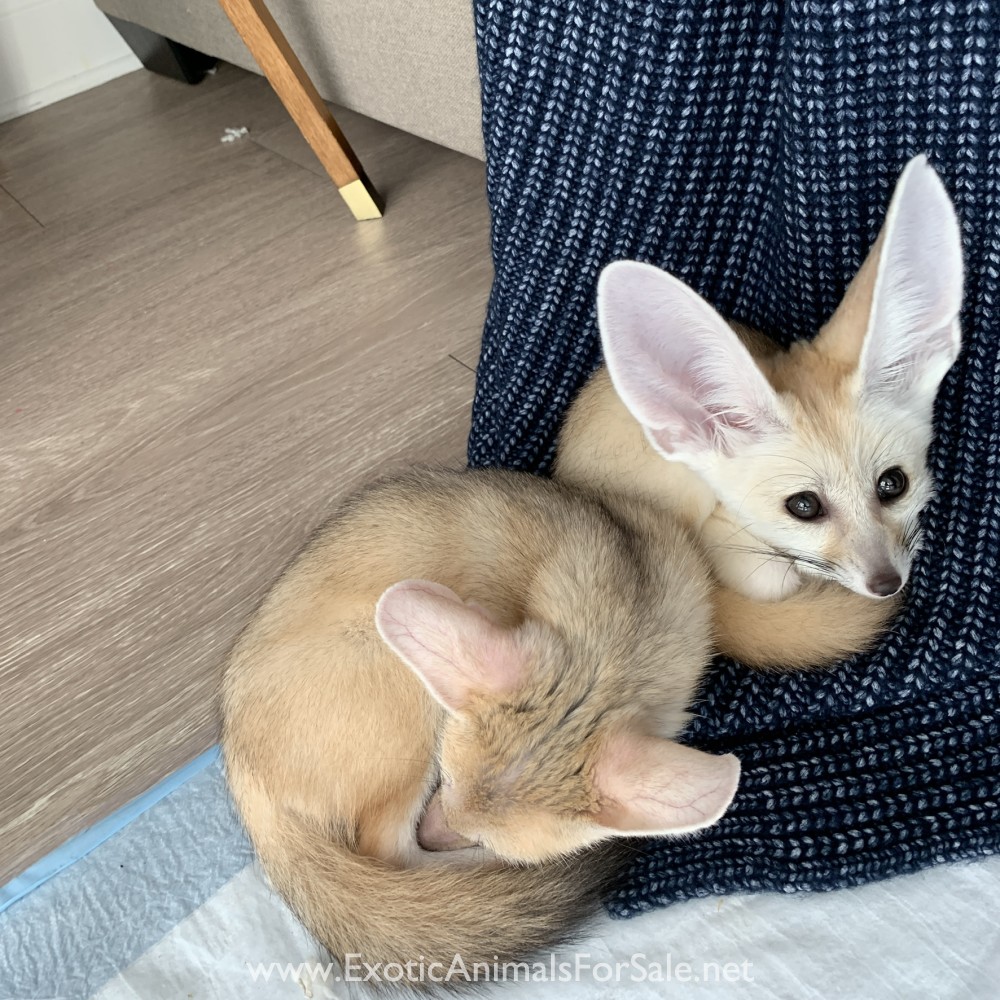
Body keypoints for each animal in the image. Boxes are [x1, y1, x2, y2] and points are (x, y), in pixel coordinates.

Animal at [222, 469, 738, 983]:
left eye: (483, 833)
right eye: (446, 782)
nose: (434, 832)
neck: (631, 593)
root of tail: (240, 767)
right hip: (407, 705)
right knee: (391, 855)